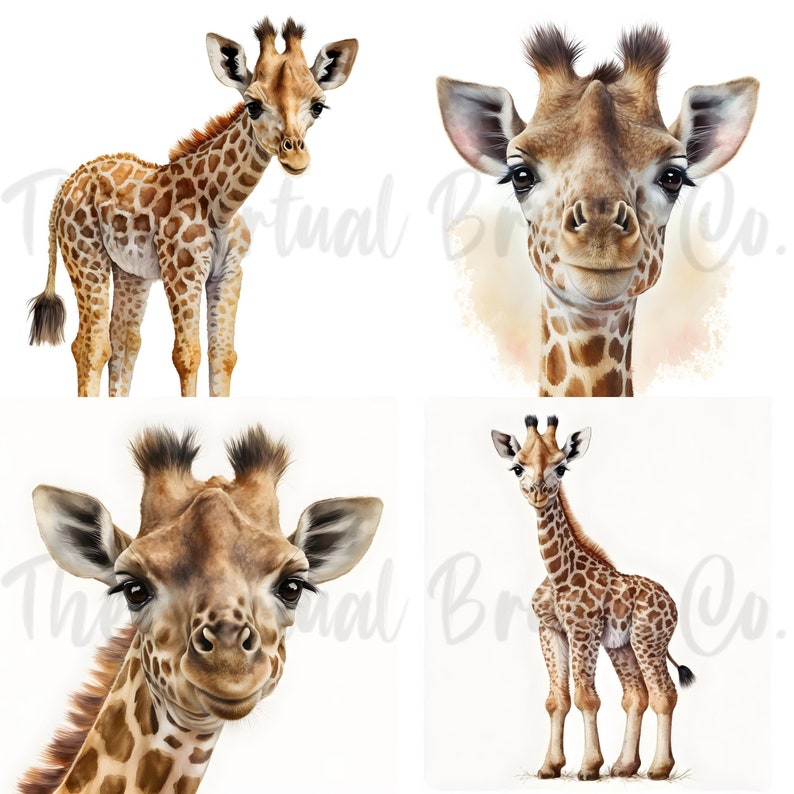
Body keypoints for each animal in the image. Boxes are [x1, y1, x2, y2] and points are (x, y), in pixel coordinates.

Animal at [27, 18, 358, 397]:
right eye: (253, 105)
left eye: (318, 106)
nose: (297, 157)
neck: (222, 206)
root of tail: (67, 186)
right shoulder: (182, 272)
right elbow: (188, 355)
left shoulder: (229, 274)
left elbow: (223, 356)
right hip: (86, 257)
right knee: (91, 345)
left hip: (130, 273)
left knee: (124, 342)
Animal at [491, 414, 694, 780]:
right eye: (517, 467)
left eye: (561, 468)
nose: (538, 493)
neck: (558, 573)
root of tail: (672, 604)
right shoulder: (550, 630)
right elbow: (556, 699)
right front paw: (550, 766)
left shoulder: (583, 631)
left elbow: (587, 697)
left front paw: (588, 767)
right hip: (622, 646)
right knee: (636, 694)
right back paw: (625, 766)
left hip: (648, 641)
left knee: (664, 693)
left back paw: (658, 768)